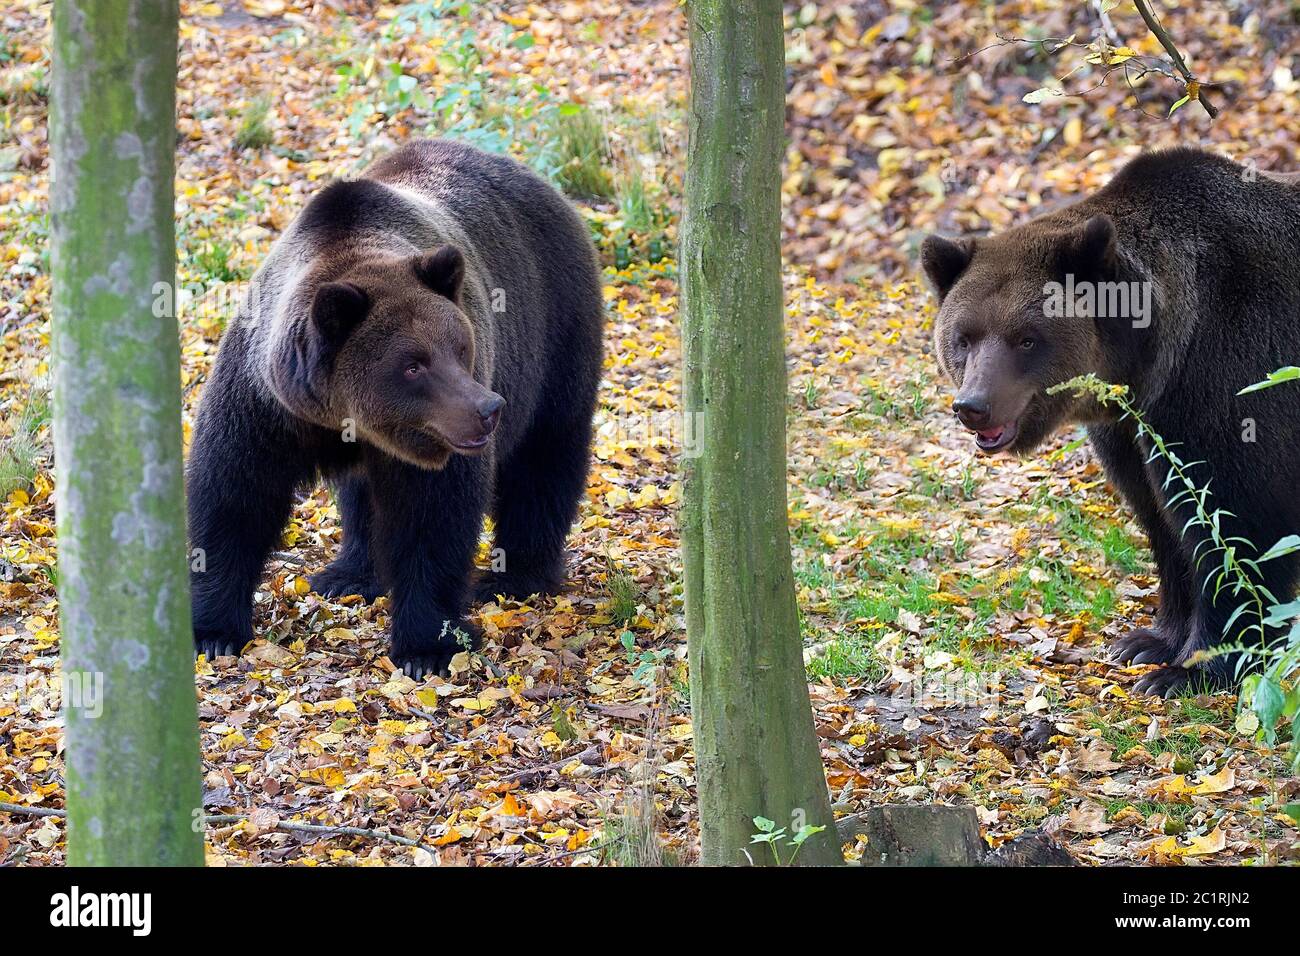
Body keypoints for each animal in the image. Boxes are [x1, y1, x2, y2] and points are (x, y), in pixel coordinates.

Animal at [187, 139, 604, 676]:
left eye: (461, 347)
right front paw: (213, 631)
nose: (487, 408)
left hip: (554, 327)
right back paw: (350, 574)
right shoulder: (265, 404)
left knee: (545, 457)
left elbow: (432, 517)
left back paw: (514, 578)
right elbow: (234, 494)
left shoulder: (432, 442)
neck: (342, 419)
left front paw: (427, 647)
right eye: (413, 365)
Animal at [921, 147, 1300, 696]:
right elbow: (1160, 516)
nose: (974, 405)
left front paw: (1192, 669)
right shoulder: (1130, 428)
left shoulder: (1232, 379)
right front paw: (1148, 642)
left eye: (1026, 338)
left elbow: (1235, 522)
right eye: (964, 337)